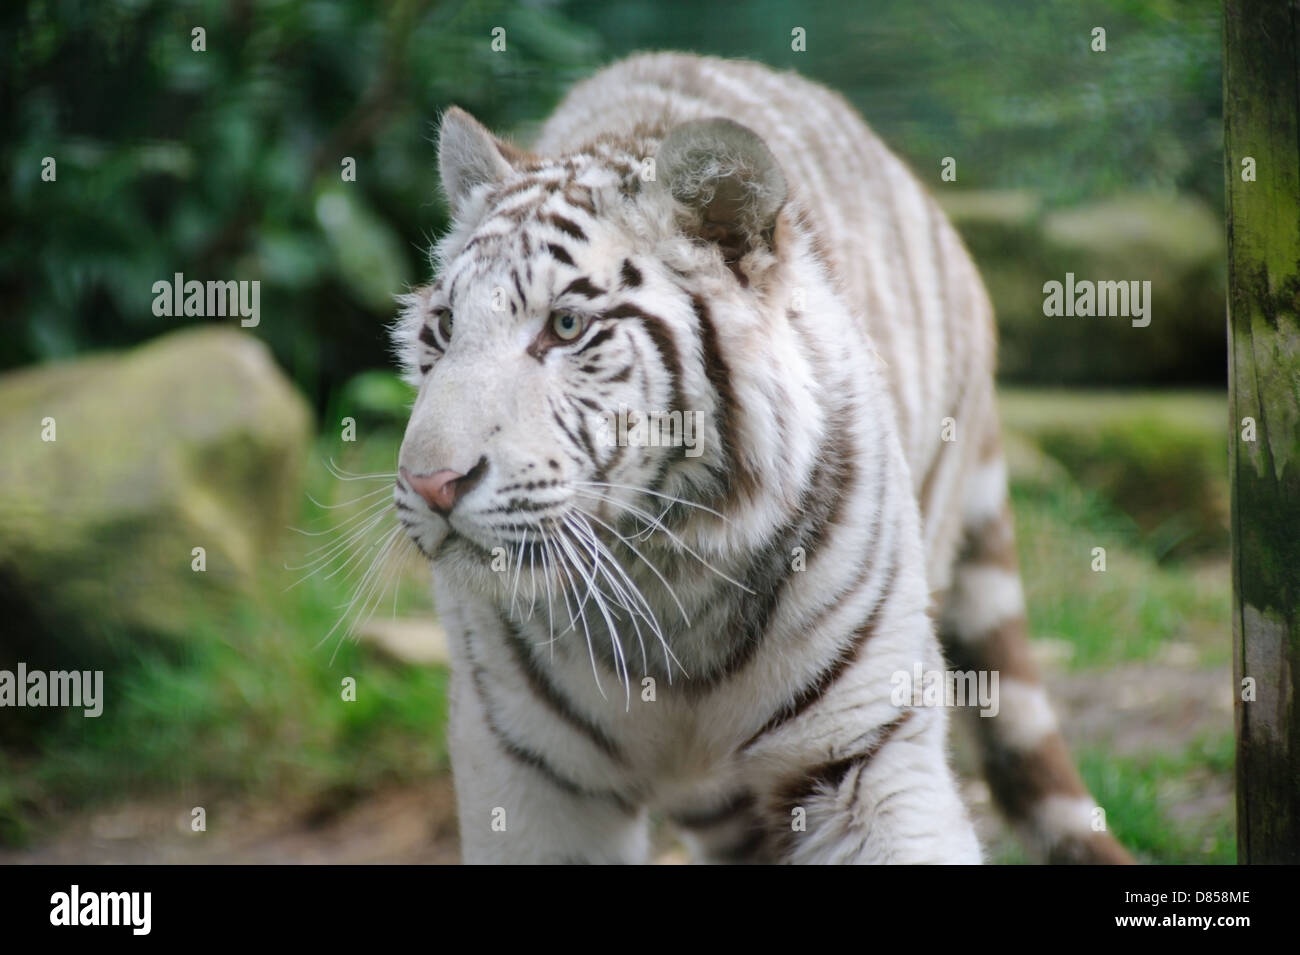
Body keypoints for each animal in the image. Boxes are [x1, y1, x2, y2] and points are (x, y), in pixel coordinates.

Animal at [391, 51, 1132, 864]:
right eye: (445, 326)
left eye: (566, 325)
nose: (431, 484)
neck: (665, 578)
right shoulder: (529, 769)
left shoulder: (864, 747)